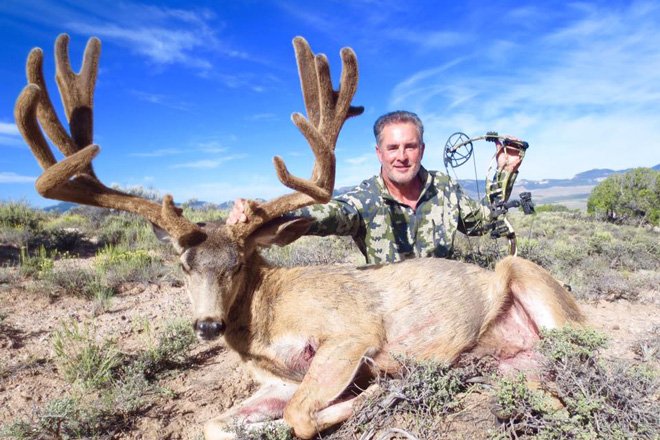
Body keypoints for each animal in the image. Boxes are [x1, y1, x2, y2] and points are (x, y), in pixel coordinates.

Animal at [15, 34, 585, 439]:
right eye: (183, 266)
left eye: (238, 262)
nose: (206, 325)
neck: (265, 327)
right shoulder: (274, 380)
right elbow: (216, 422)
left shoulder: (351, 335)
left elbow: (300, 415)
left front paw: (375, 393)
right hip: (516, 366)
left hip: (526, 278)